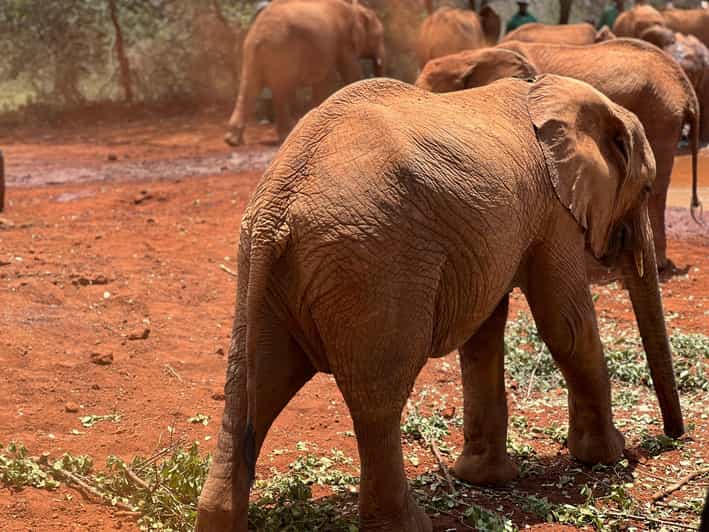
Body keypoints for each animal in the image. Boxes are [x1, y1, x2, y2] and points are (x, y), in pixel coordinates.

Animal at [196, 74, 684, 531]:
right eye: (645, 190)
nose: (673, 438)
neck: (551, 90)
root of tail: (277, 202)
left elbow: (485, 334)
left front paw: (484, 479)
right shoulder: (553, 211)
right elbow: (565, 324)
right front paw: (608, 456)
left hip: (269, 275)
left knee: (247, 390)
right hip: (375, 265)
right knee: (377, 402)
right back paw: (410, 525)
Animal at [224, 0, 385, 147]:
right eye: (378, 37)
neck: (355, 8)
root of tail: (259, 32)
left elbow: (322, 82)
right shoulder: (344, 41)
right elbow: (349, 74)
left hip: (253, 52)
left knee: (248, 88)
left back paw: (232, 141)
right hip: (281, 50)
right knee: (282, 92)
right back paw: (285, 136)